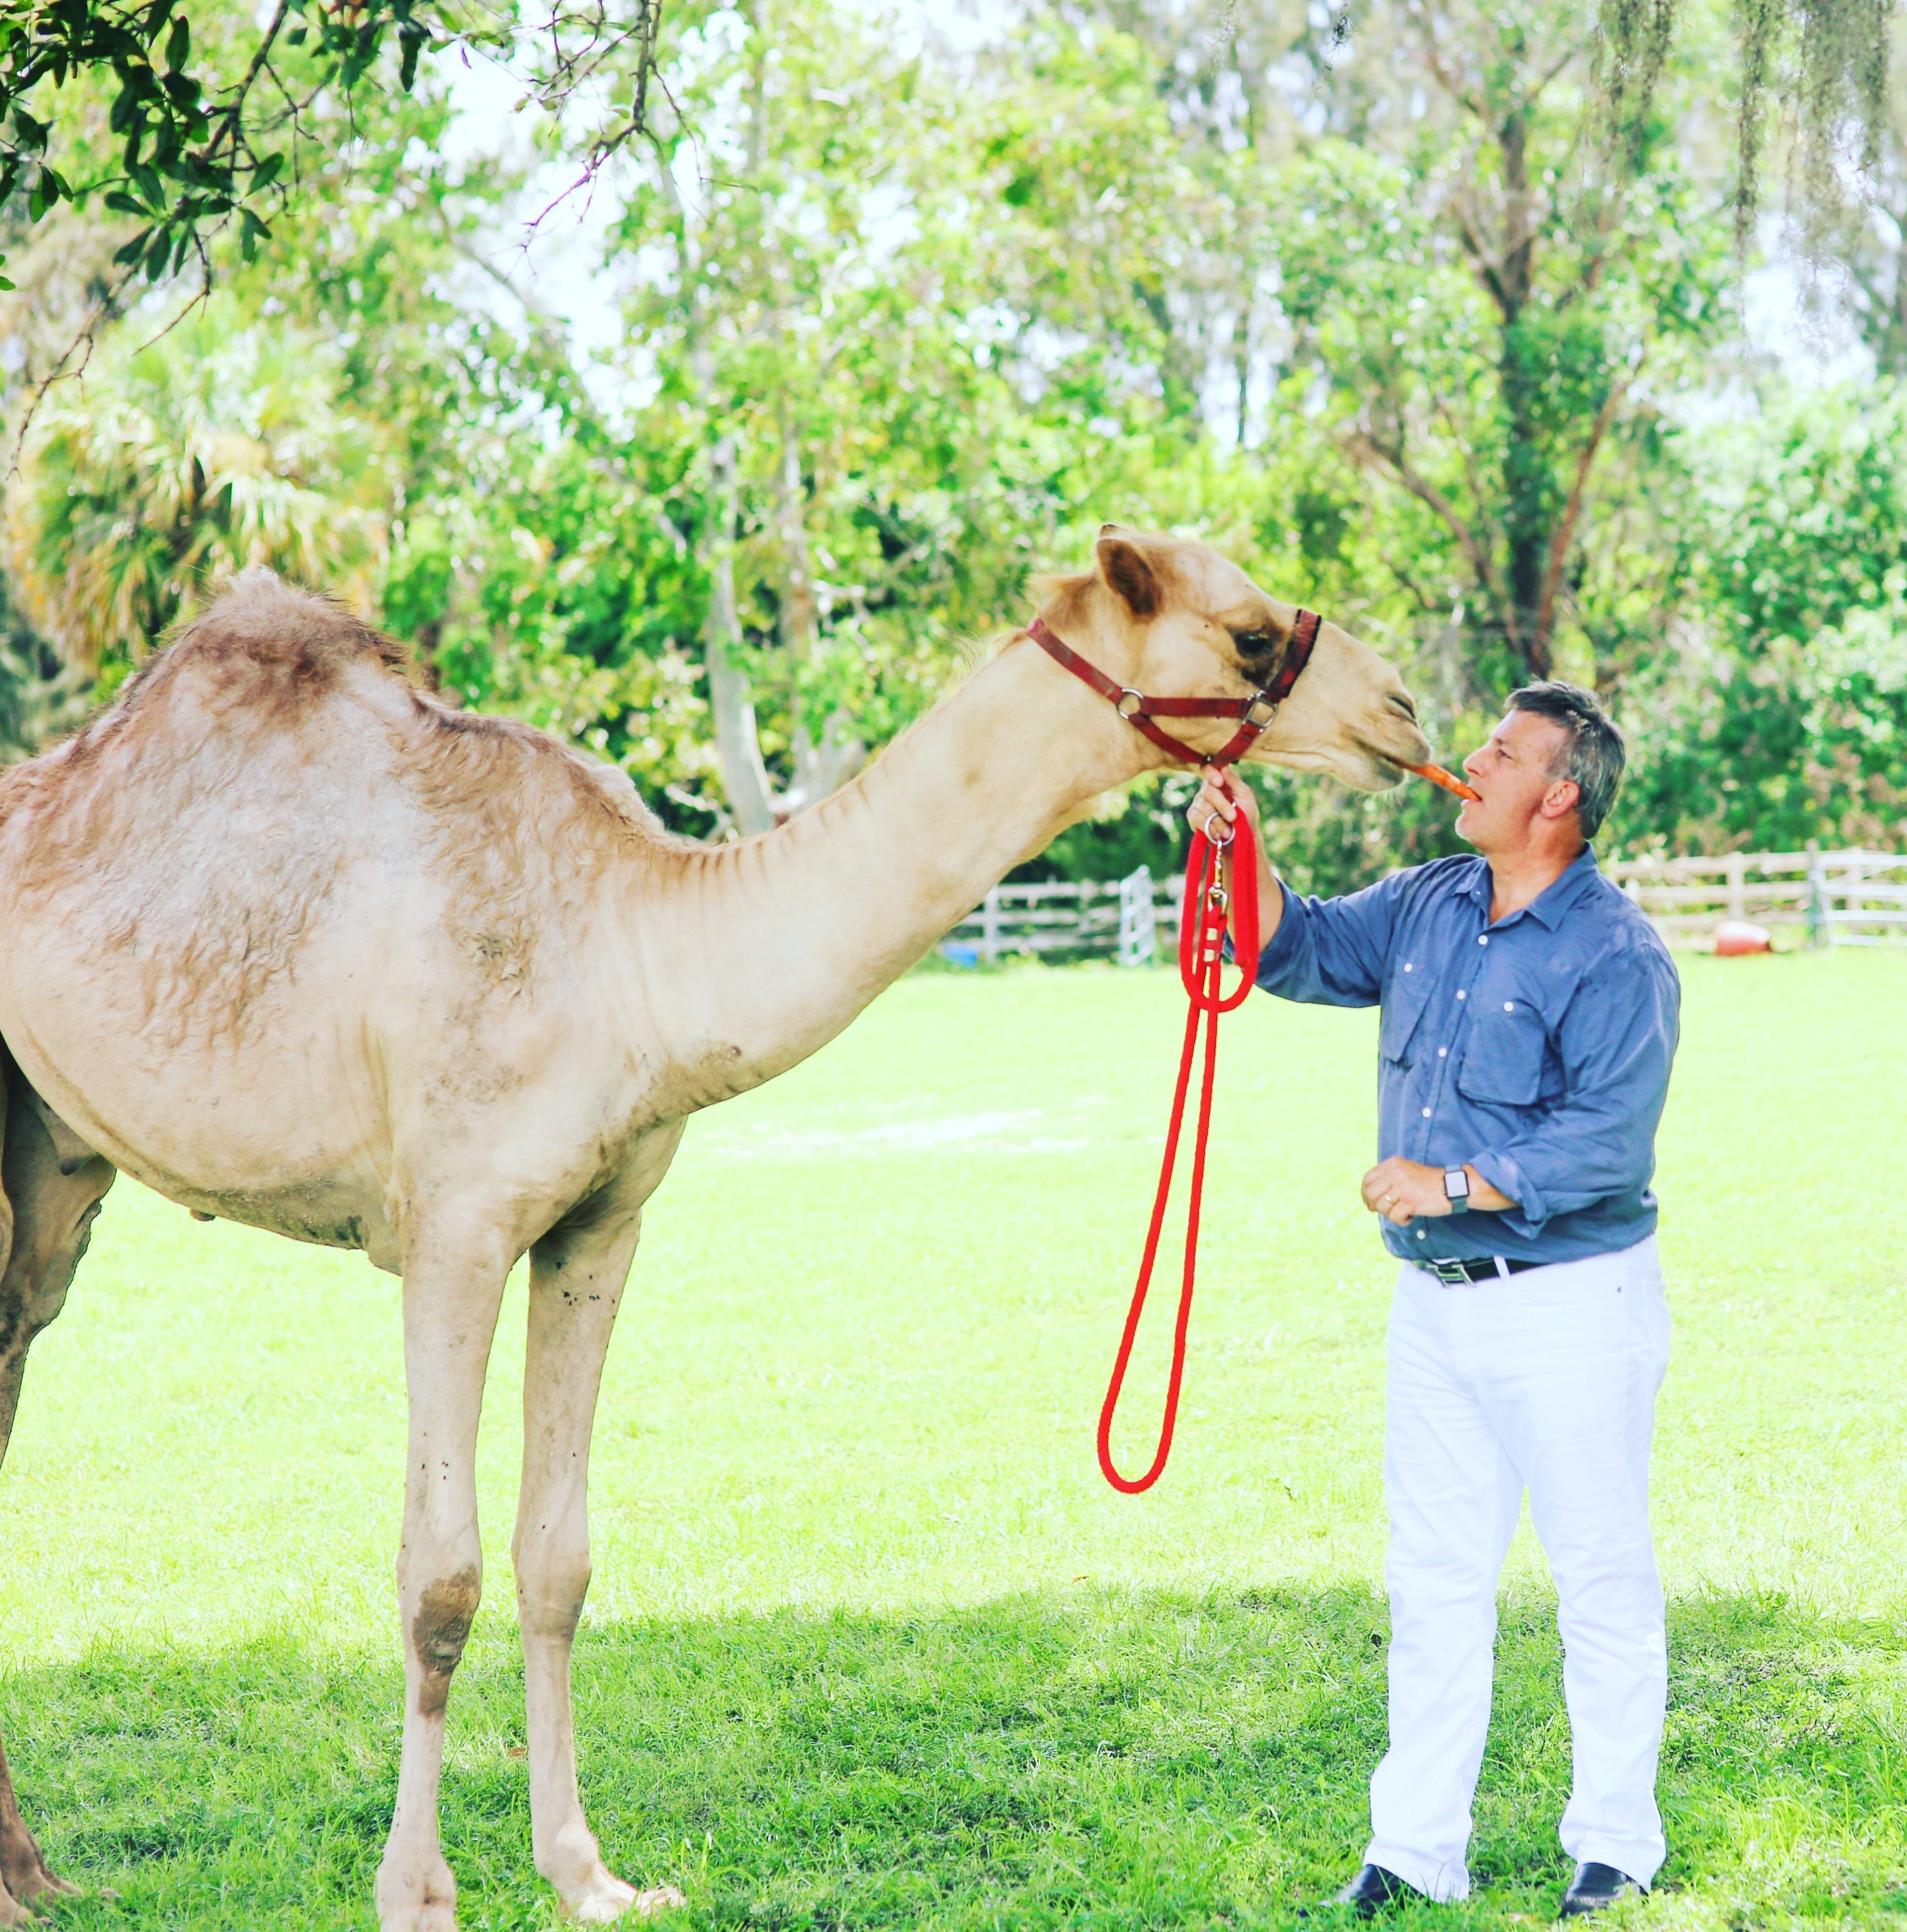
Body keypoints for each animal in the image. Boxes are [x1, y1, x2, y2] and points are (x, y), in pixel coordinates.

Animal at [0, 526, 1431, 1931]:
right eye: (1250, 631)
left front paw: (590, 1876)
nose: (1404, 712)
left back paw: (34, 1872)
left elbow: (557, 1557)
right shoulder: (454, 1221)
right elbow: (441, 1577)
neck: (638, 945)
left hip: (56, 1161)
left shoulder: (599, 1223)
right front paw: (419, 1894)